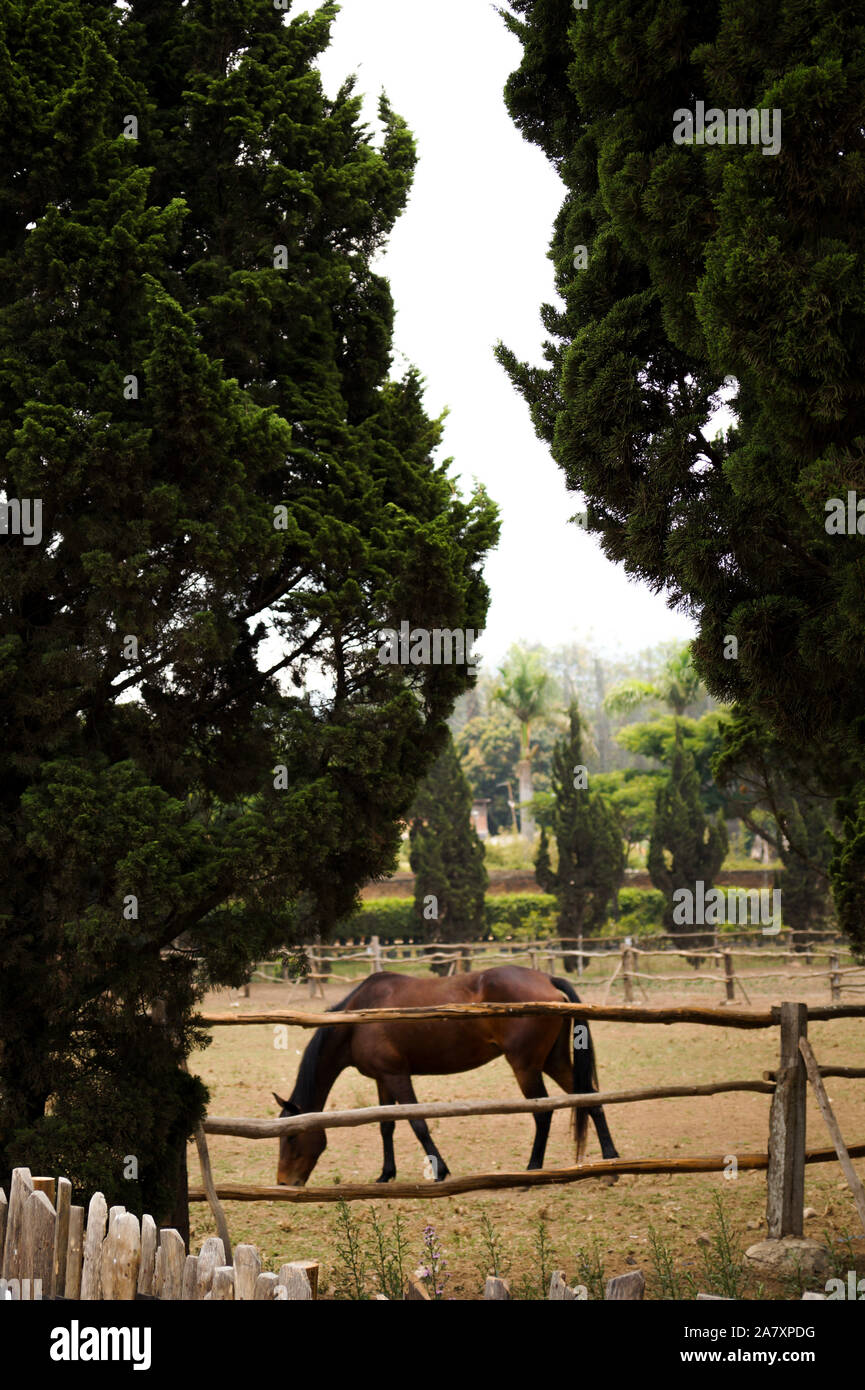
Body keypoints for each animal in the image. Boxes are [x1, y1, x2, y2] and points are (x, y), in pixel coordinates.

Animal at [272, 964, 619, 1186]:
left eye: (291, 1137)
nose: (284, 1183)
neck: (360, 1017)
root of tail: (546, 979)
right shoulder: (382, 1078)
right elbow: (386, 1125)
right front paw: (386, 1174)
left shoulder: (397, 1075)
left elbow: (418, 1123)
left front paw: (439, 1171)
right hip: (554, 1062)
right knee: (590, 1098)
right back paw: (611, 1163)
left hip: (526, 1067)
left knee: (543, 1113)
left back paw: (532, 1171)